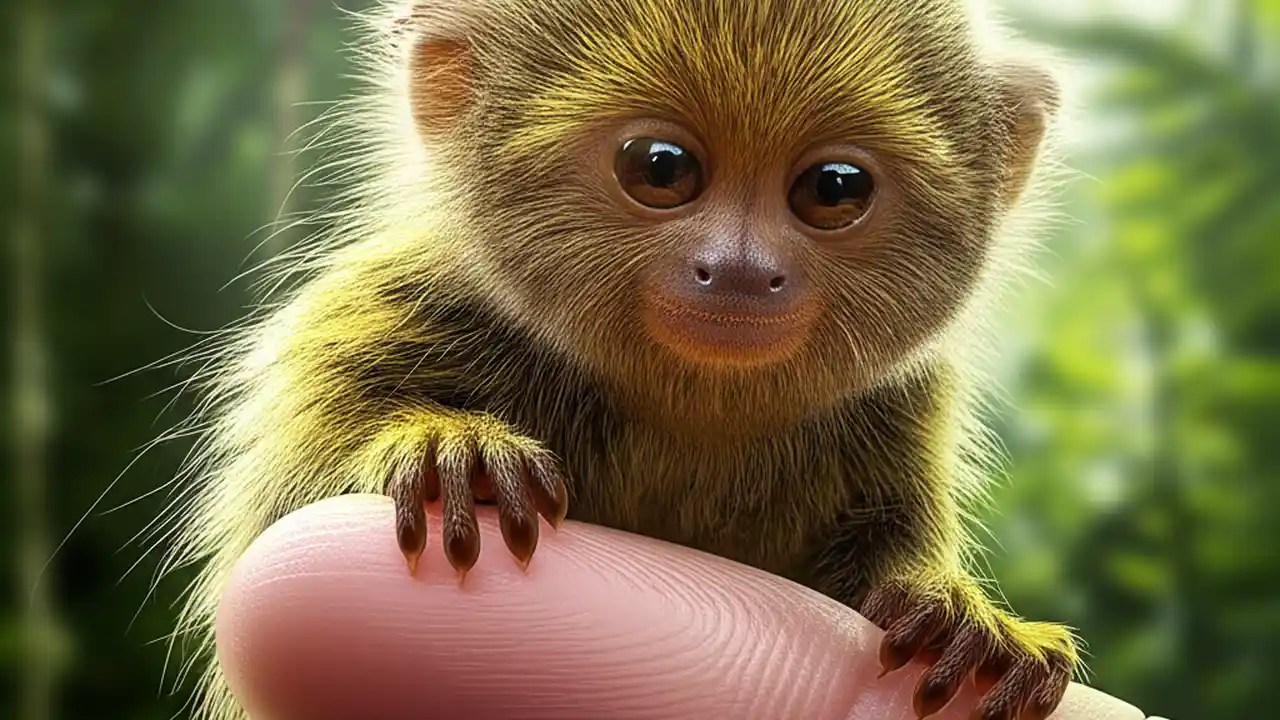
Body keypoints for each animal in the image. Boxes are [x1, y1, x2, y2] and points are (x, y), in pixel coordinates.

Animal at [157, 1, 1082, 719]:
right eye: (661, 169)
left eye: (834, 188)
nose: (739, 268)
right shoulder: (380, 311)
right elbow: (281, 516)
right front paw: (444, 446)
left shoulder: (901, 408)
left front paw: (953, 611)